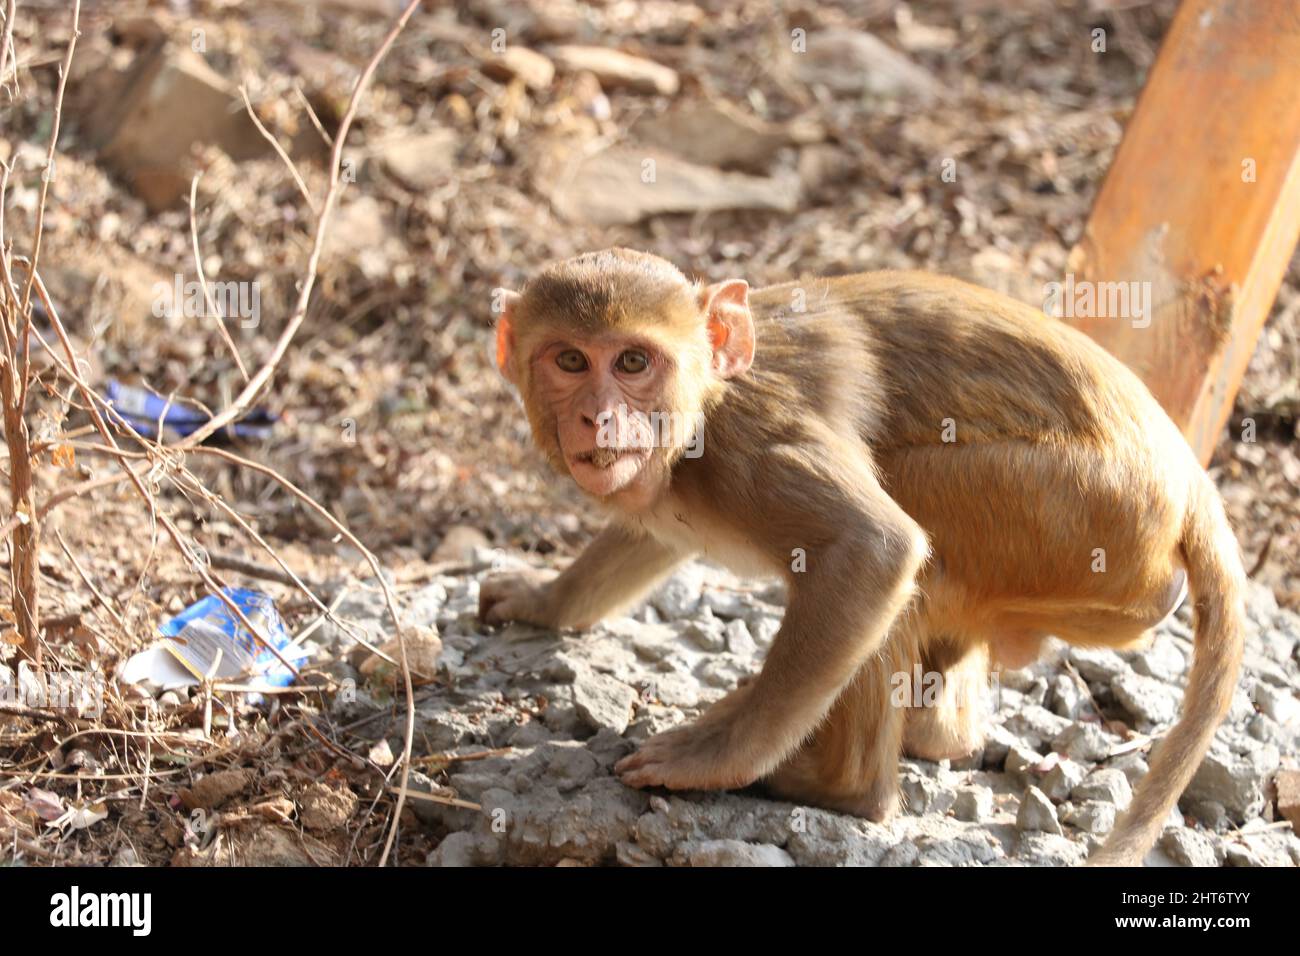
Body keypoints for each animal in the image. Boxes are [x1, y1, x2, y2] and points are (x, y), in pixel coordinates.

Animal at [478, 247, 1245, 867]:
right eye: (570, 360)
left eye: (633, 361)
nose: (598, 417)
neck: (706, 403)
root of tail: (1187, 477)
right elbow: (650, 534)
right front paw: (542, 599)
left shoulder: (751, 445)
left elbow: (872, 548)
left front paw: (716, 760)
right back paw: (941, 733)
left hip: (1082, 518)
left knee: (908, 519)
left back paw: (838, 785)